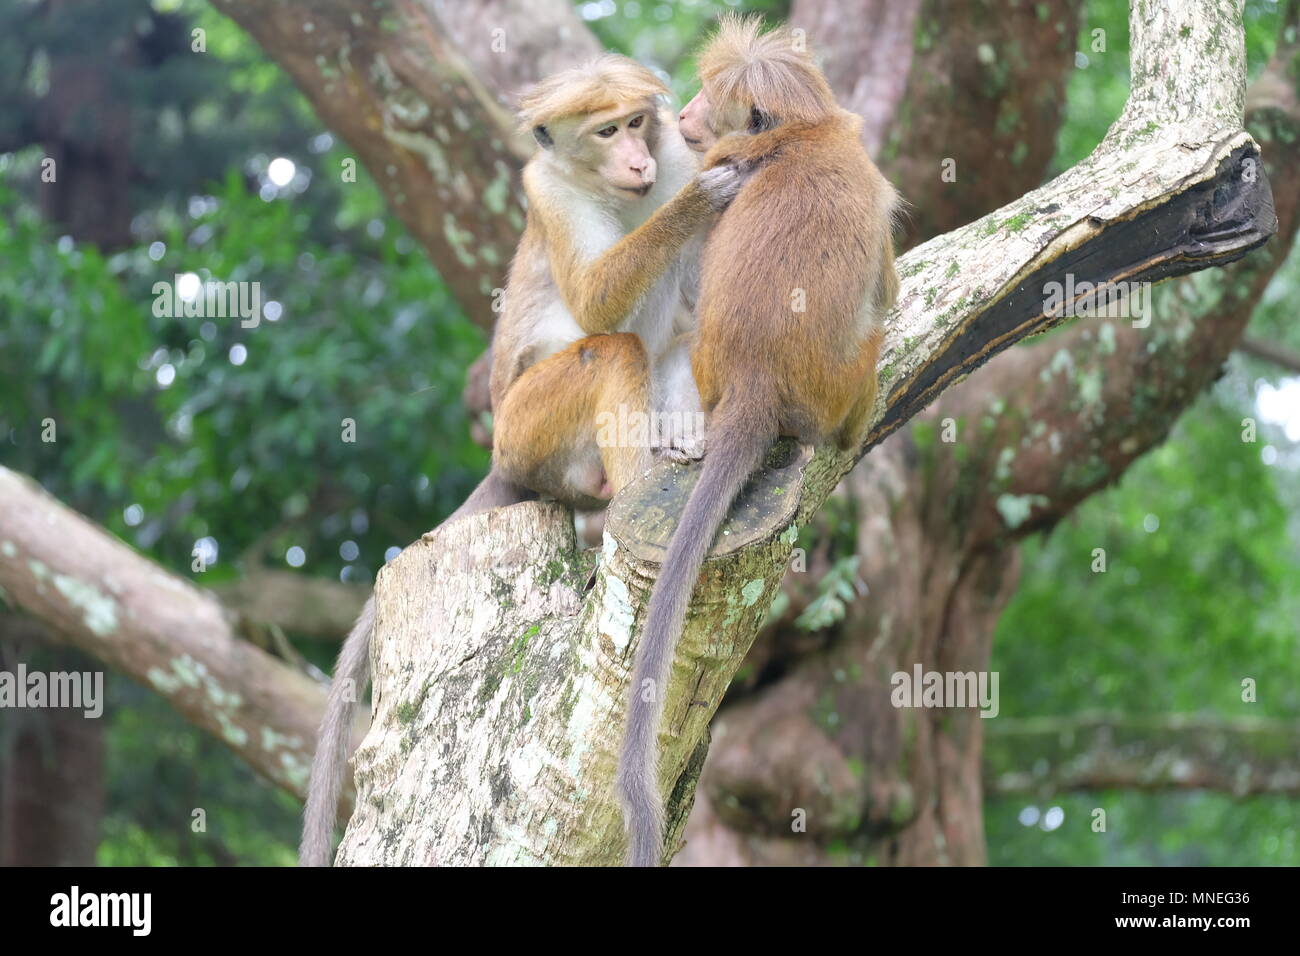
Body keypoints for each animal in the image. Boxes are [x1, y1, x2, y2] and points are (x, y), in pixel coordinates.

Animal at [300, 54, 744, 867]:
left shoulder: (672, 154)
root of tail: (503, 459)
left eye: (638, 123)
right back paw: (637, 488)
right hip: (529, 427)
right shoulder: (547, 191)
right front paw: (703, 201)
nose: (636, 159)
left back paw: (674, 448)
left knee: (670, 338)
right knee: (614, 348)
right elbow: (598, 304)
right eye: (605, 130)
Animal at [616, 15, 901, 867]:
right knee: (869, 344)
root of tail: (752, 387)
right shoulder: (874, 187)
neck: (798, 137)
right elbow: (889, 285)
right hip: (842, 383)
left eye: (707, 96)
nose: (684, 111)